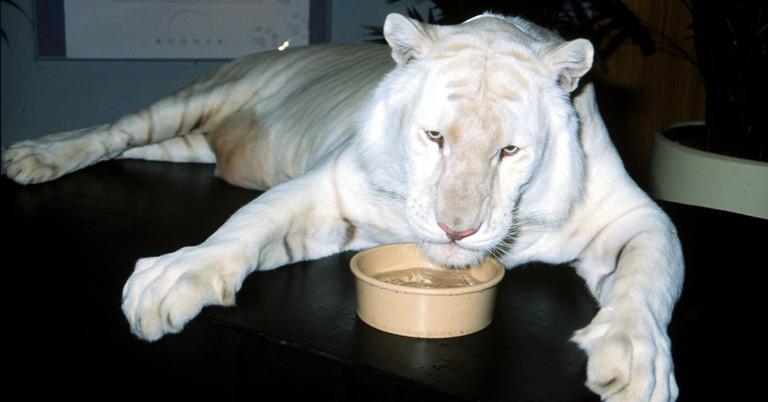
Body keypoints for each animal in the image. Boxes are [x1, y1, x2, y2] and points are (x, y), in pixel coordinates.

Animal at [1, 13, 683, 402]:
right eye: (434, 137)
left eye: (509, 151)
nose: (456, 230)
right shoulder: (325, 186)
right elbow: (245, 225)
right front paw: (171, 280)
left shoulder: (636, 219)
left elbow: (647, 281)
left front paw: (633, 361)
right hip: (196, 97)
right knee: (111, 131)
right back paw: (32, 156)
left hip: (187, 143)